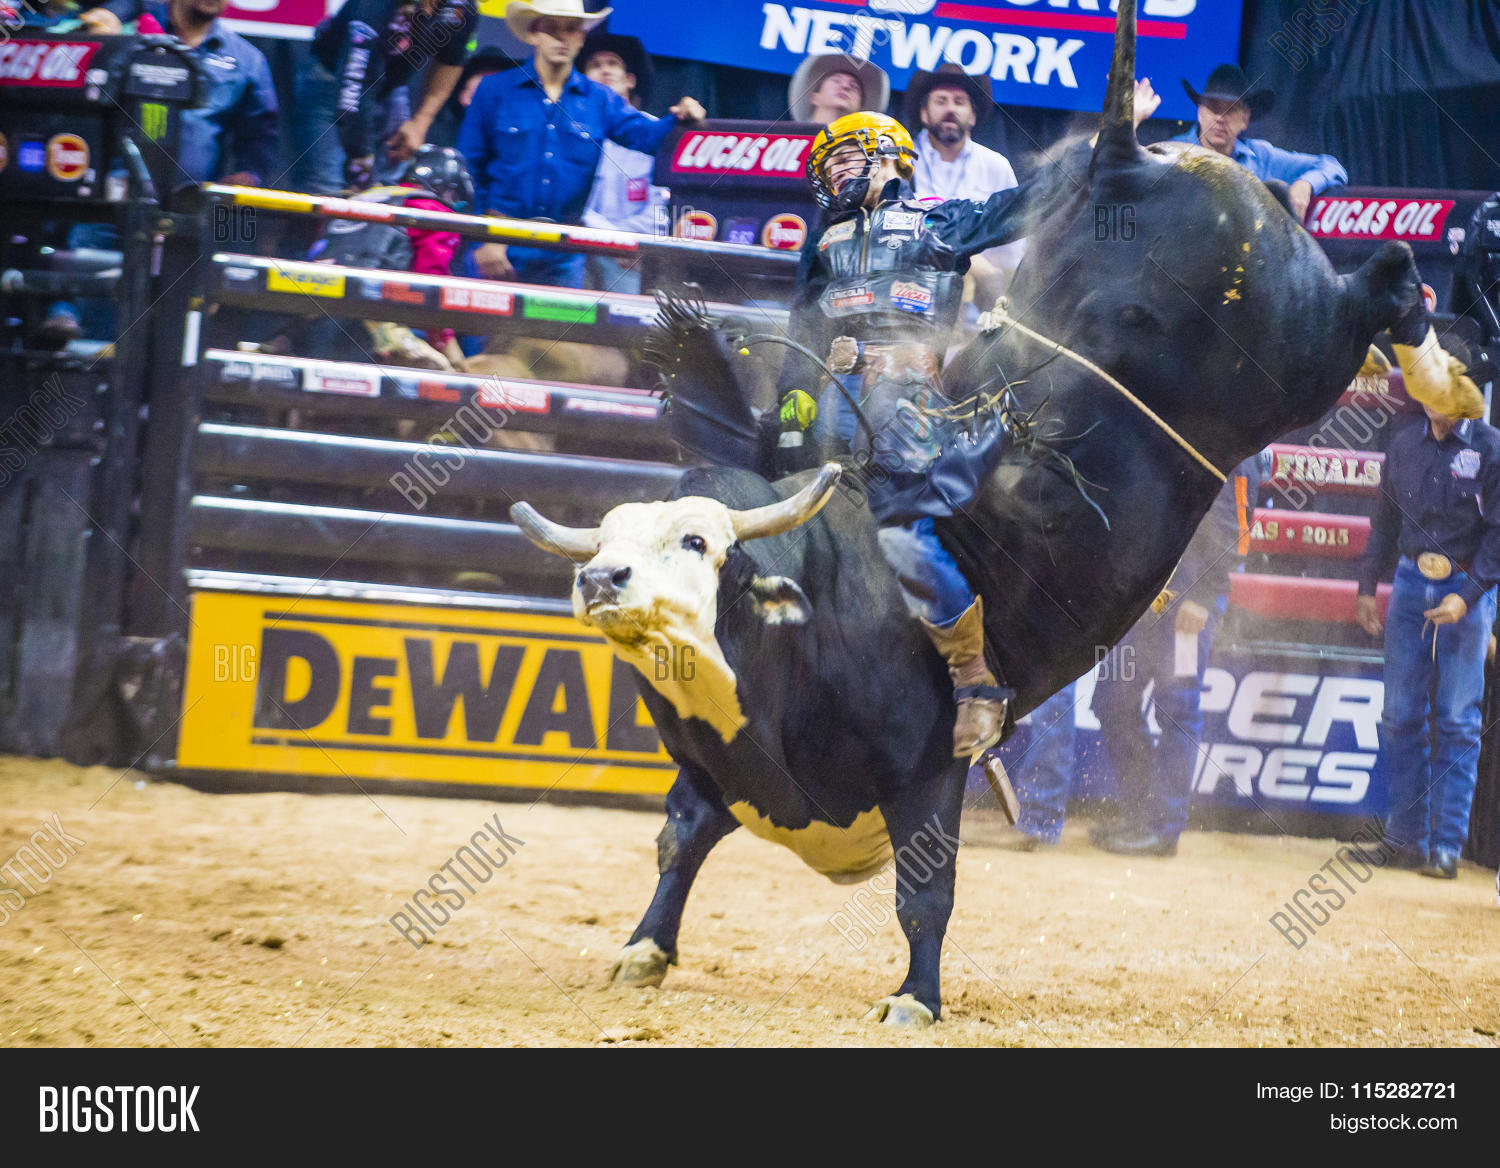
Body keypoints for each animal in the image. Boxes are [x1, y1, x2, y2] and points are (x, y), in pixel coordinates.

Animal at [511, 0, 1452, 1027]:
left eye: (698, 542)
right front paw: (644, 948)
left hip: (1299, 345)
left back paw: (1446, 381)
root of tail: (1123, 162)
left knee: (1389, 281)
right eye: (609, 537)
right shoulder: (714, 773)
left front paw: (913, 998)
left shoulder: (927, 778)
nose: (601, 580)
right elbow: (680, 838)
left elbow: (926, 892)